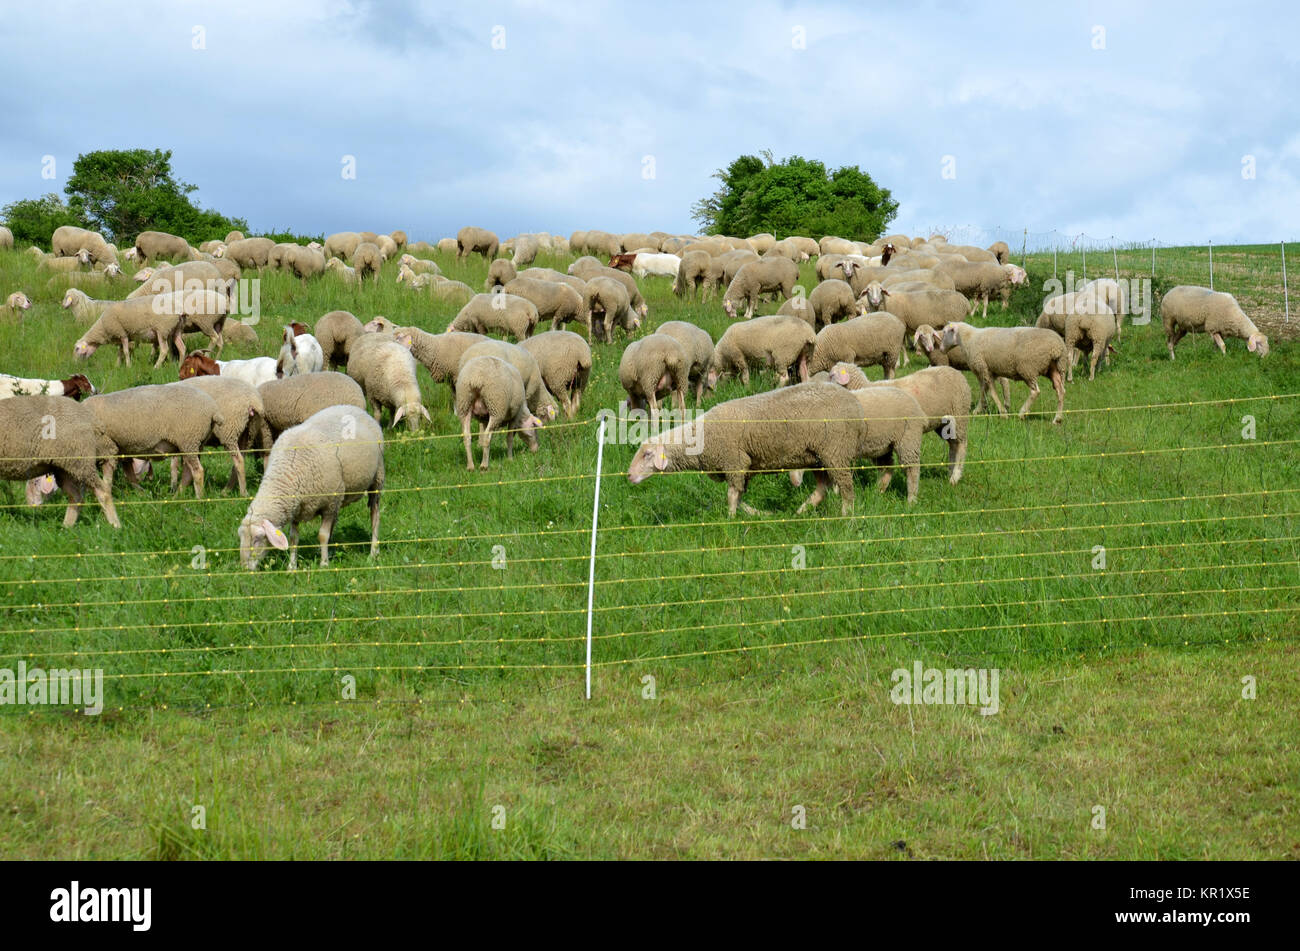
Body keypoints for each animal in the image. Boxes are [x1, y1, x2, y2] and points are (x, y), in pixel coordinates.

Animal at [0, 395, 120, 527]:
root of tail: (91, 420)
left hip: (80, 459)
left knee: (103, 491)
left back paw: (115, 525)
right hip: (64, 467)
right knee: (76, 496)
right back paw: (66, 527)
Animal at [86, 384, 224, 497]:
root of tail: (213, 409)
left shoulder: (107, 446)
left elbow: (108, 478)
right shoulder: (123, 450)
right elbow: (130, 476)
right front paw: (142, 495)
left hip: (188, 440)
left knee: (198, 471)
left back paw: (199, 499)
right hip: (195, 443)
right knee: (188, 472)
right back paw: (177, 497)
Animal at [238, 405, 384, 570]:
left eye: (257, 538)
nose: (244, 568)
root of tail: (354, 408)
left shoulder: (329, 504)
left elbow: (322, 535)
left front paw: (323, 564)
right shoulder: (296, 509)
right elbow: (293, 538)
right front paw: (292, 566)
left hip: (377, 479)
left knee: (375, 516)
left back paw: (373, 552)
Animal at [627, 383, 884, 517]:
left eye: (647, 454)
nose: (629, 475)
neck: (701, 438)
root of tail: (856, 405)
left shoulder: (734, 461)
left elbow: (732, 496)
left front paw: (729, 519)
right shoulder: (744, 468)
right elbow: (740, 496)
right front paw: (758, 515)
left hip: (835, 451)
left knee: (846, 487)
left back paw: (846, 515)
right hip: (818, 457)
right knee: (822, 489)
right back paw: (799, 512)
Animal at [939, 323, 1067, 424]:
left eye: (945, 332)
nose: (940, 349)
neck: (969, 339)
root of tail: (1057, 346)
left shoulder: (982, 368)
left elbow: (991, 392)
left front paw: (1003, 413)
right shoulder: (989, 370)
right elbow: (984, 391)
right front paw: (979, 410)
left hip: (1028, 368)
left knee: (1035, 391)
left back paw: (1021, 414)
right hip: (1055, 368)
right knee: (1060, 391)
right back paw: (1057, 419)